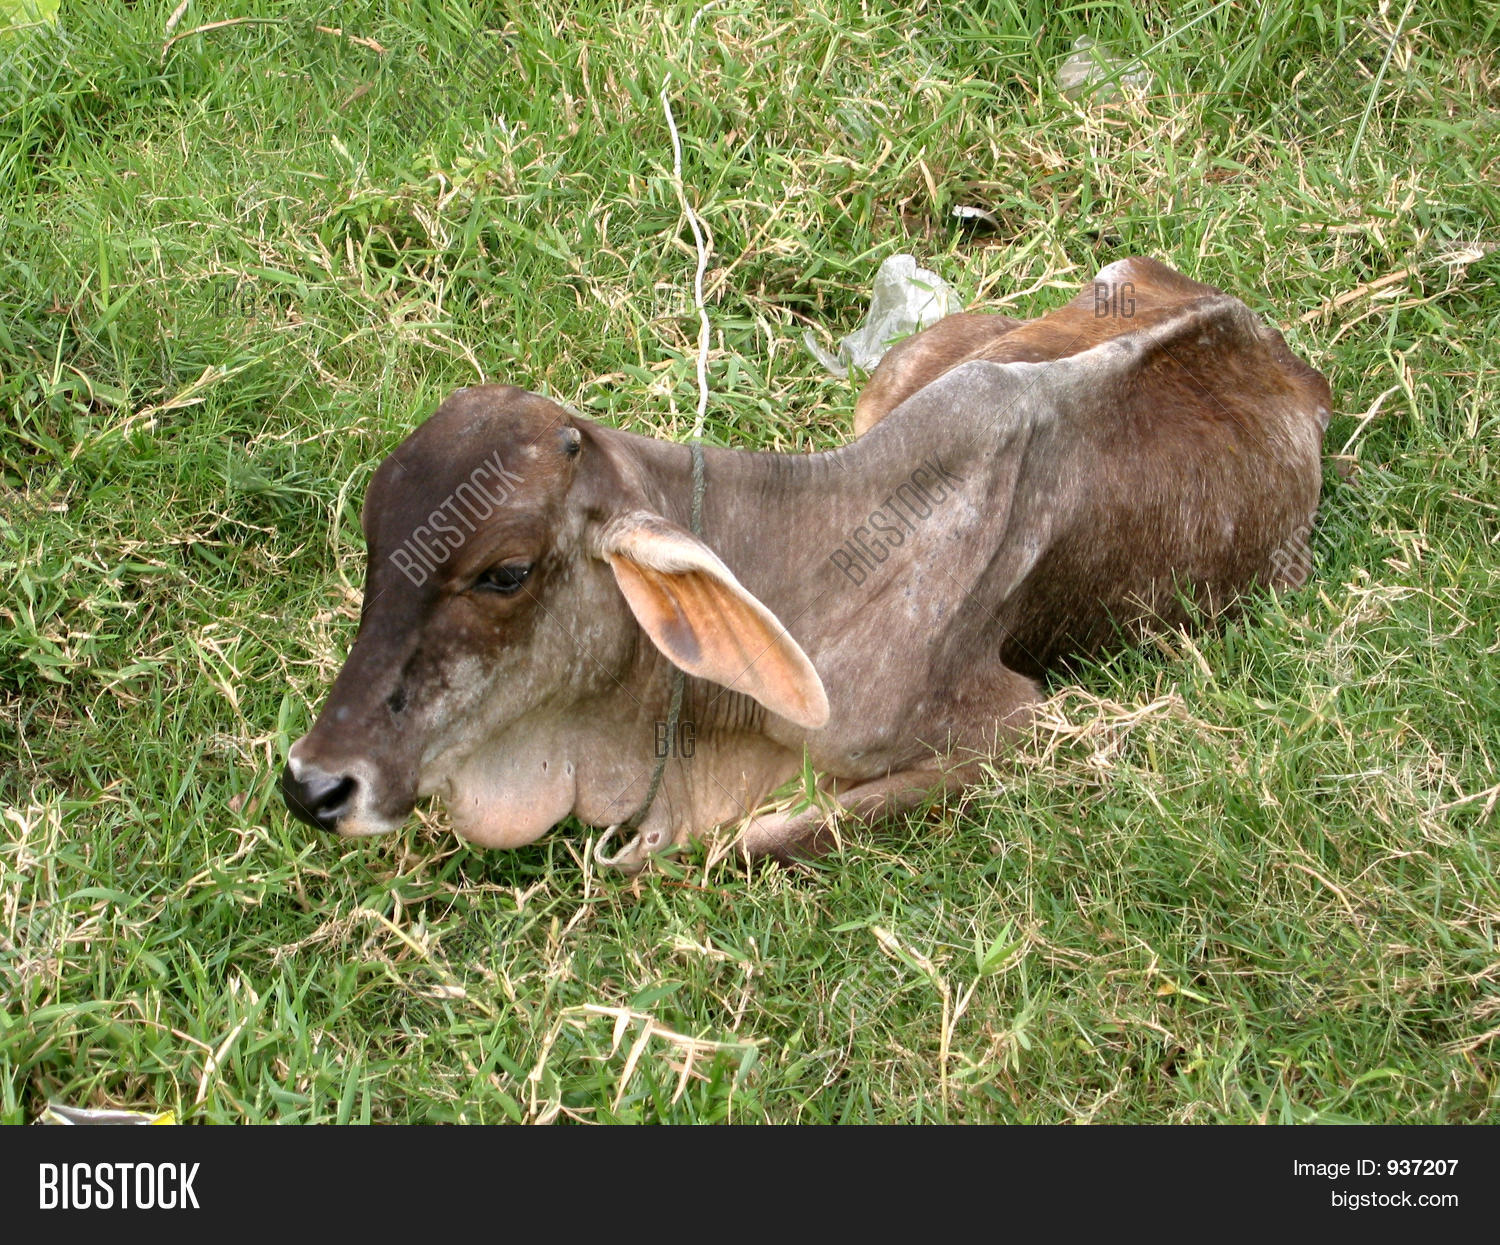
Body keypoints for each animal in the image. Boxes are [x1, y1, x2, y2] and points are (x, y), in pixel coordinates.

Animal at [281, 257, 1331, 871]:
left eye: (505, 571)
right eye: (374, 542)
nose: (313, 783)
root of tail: (1293, 361)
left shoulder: (1015, 726)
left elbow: (757, 836)